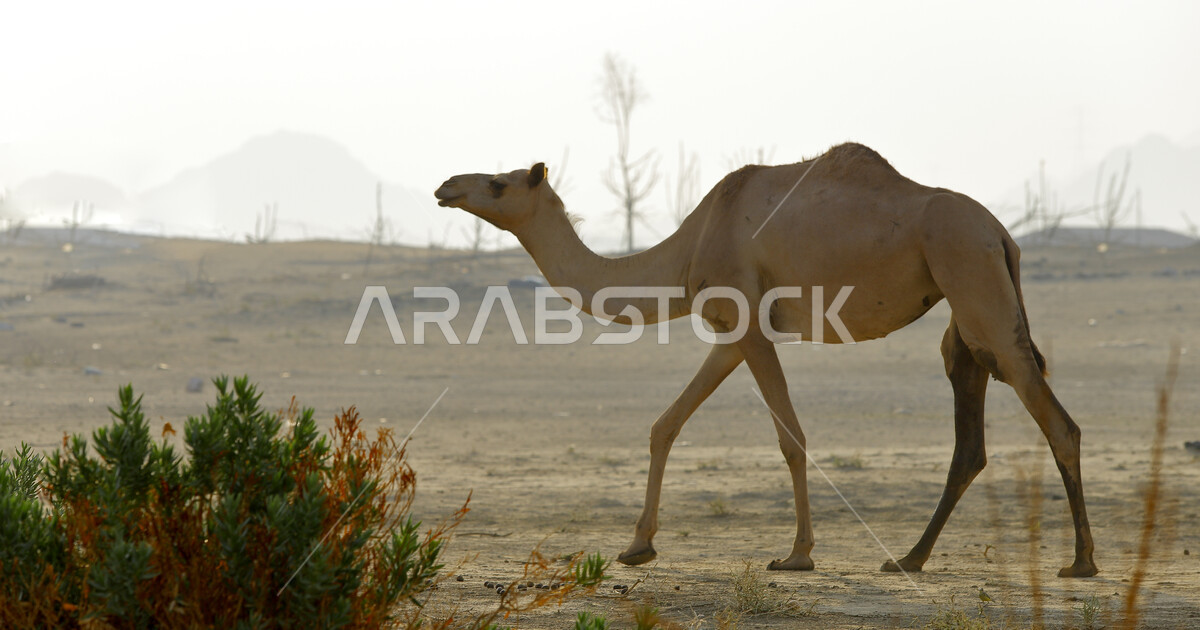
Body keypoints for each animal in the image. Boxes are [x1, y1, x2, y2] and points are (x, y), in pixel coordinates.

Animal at [434, 143, 1097, 577]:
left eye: (498, 184)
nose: (446, 186)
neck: (687, 247)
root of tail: (1002, 234)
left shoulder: (751, 328)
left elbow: (791, 437)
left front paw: (798, 554)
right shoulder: (731, 332)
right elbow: (664, 425)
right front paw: (637, 546)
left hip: (972, 273)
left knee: (1056, 420)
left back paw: (1081, 562)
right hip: (965, 304)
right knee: (970, 429)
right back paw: (908, 558)